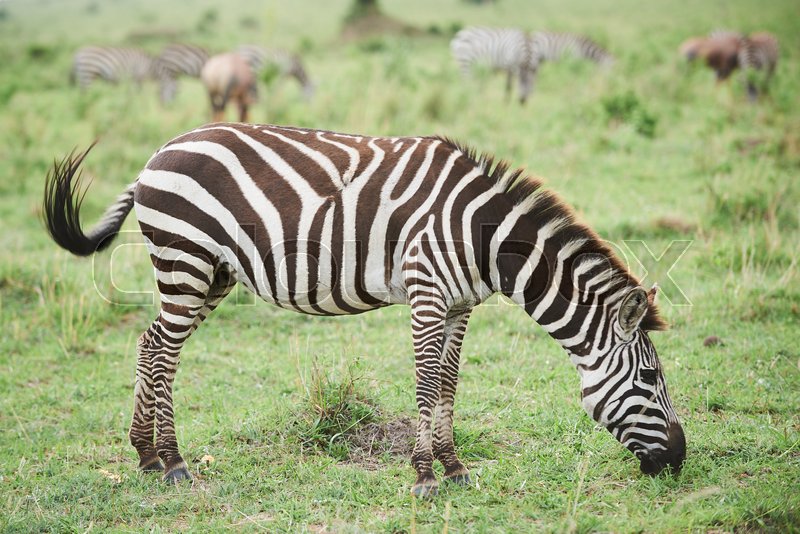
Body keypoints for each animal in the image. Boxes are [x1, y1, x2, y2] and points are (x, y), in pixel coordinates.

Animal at [42, 123, 686, 497]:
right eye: (651, 378)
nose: (679, 461)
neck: (484, 237)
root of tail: (155, 156)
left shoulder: (460, 306)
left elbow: (449, 383)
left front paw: (454, 468)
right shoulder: (427, 293)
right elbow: (426, 384)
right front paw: (425, 476)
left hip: (211, 274)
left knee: (151, 342)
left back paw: (147, 456)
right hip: (186, 260)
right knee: (165, 351)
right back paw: (175, 462)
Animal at [450, 26, 613, 104]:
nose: (522, 102)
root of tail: (459, 35)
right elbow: (510, 86)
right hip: (466, 62)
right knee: (466, 82)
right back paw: (469, 96)